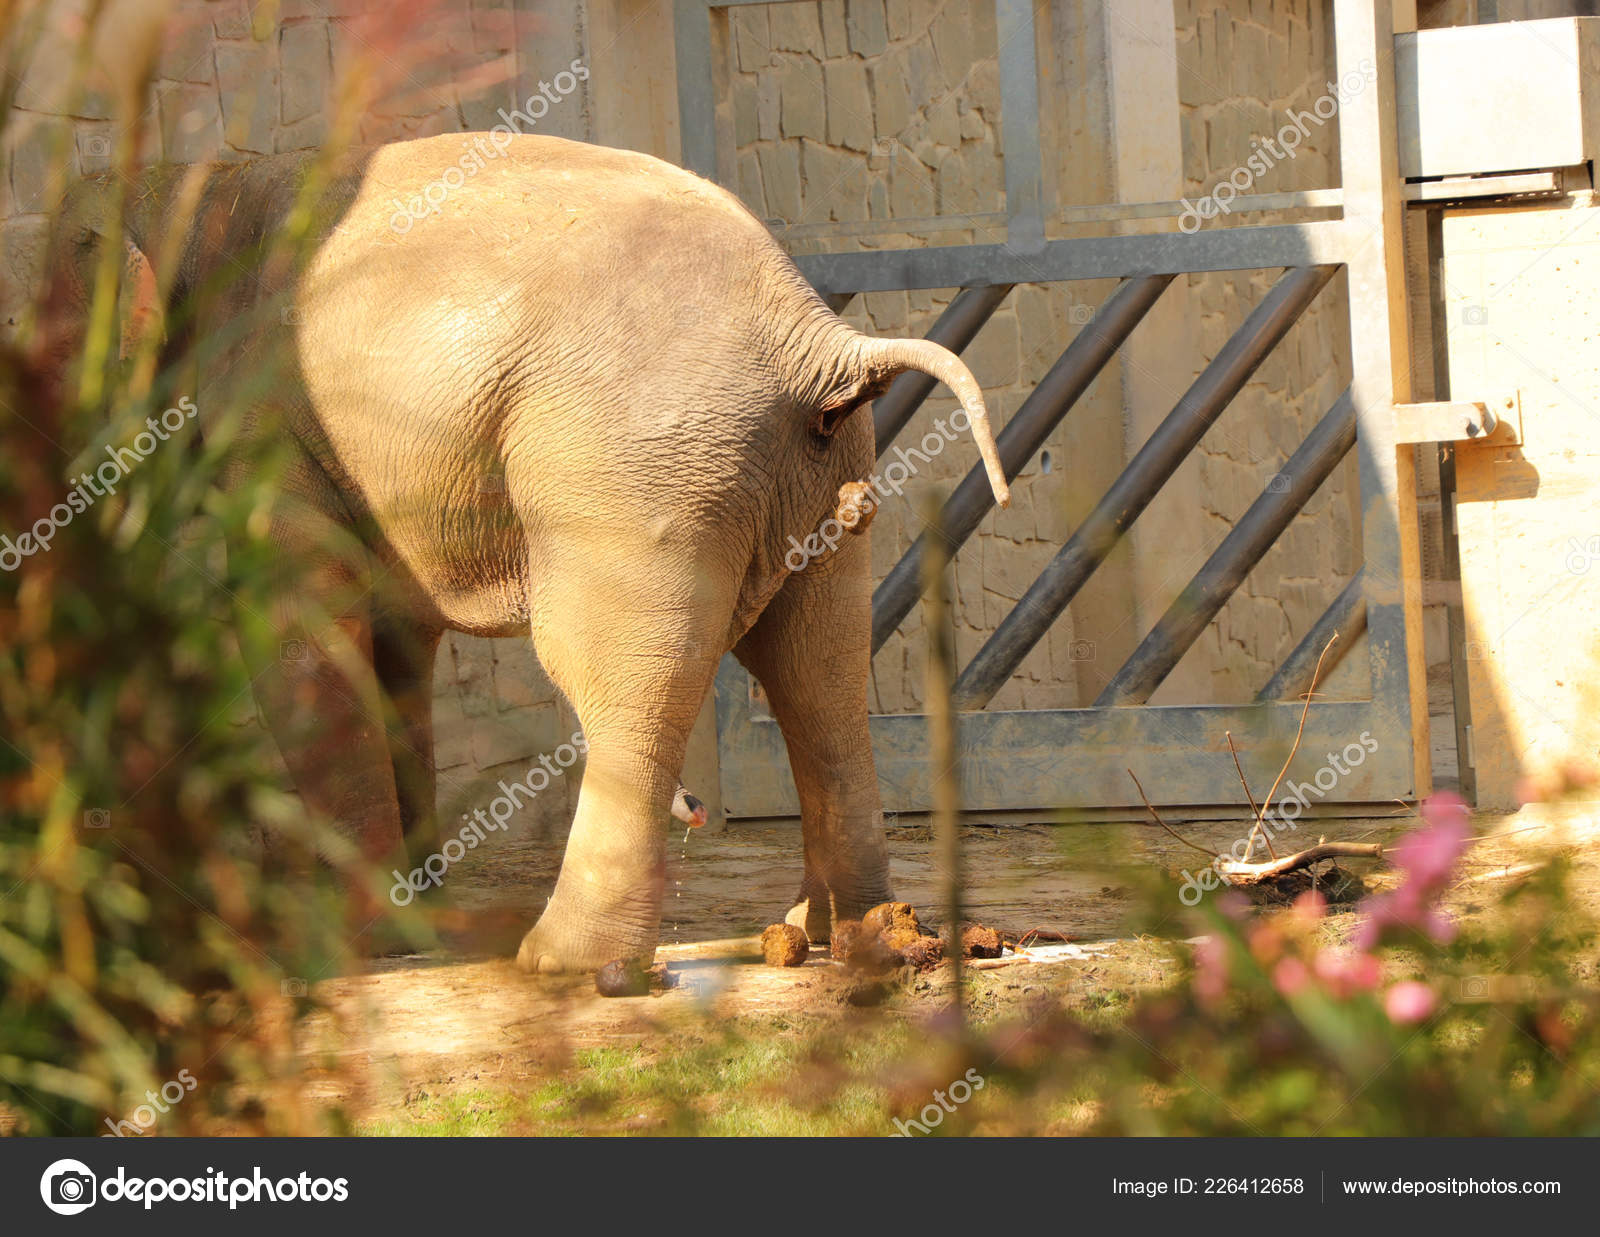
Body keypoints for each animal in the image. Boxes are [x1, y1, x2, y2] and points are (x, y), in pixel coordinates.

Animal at [43, 133, 1009, 974]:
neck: (178, 180)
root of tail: (824, 343)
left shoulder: (266, 420)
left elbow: (302, 628)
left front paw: (368, 944)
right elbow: (392, 642)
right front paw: (417, 918)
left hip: (632, 470)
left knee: (622, 672)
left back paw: (564, 962)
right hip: (818, 470)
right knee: (819, 667)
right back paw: (850, 936)